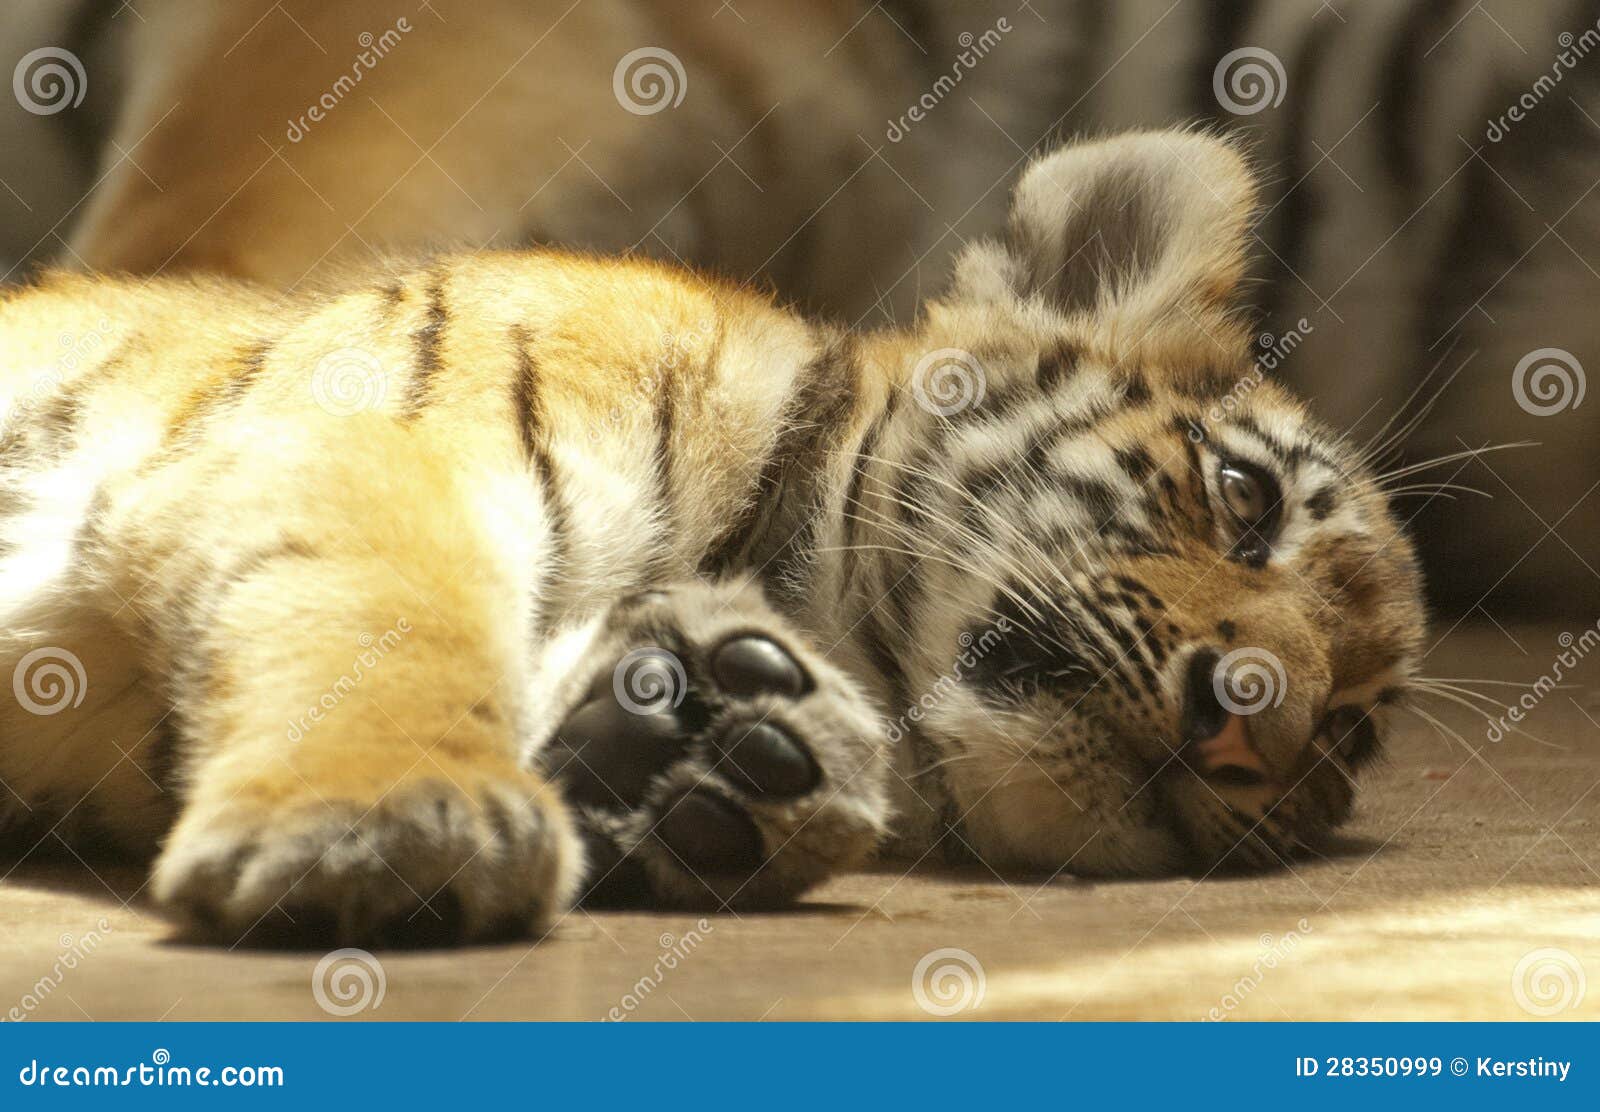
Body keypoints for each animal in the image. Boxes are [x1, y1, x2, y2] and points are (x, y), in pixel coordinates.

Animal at [0, 131, 1425, 945]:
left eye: (1345, 742)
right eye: (1243, 498)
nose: (1255, 730)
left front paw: (705, 749)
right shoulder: (379, 443)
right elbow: (383, 616)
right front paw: (393, 819)